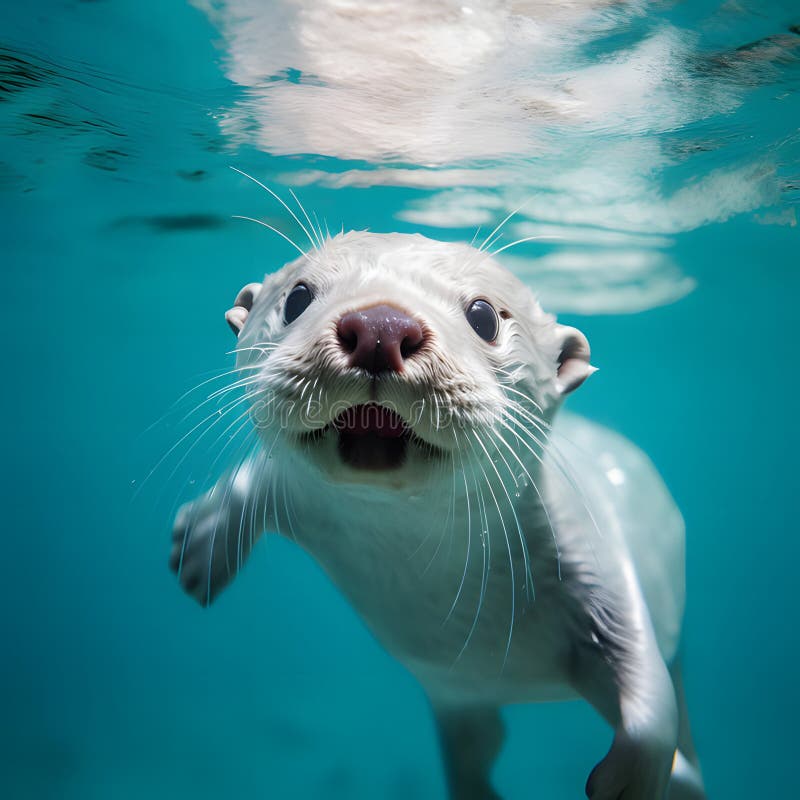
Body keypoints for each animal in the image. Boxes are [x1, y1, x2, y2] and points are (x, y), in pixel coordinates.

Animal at [169, 230, 705, 800]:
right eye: (296, 298)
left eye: (483, 317)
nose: (380, 327)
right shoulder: (301, 495)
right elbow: (259, 480)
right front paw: (200, 544)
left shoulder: (591, 559)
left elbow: (645, 686)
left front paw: (633, 783)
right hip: (460, 701)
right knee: (476, 747)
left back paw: (686, 778)